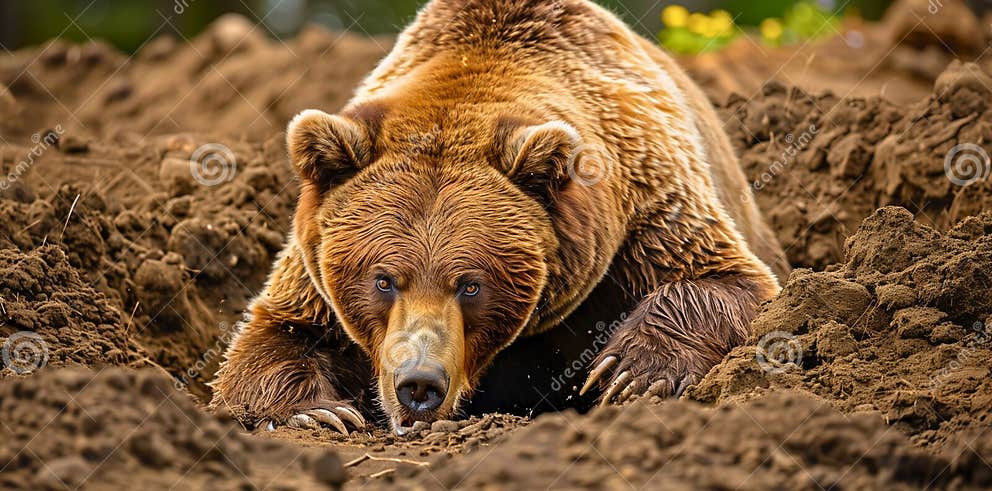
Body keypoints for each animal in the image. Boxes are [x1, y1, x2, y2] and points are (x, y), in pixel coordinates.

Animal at [209, 0, 788, 435]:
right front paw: (319, 411)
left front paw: (630, 371)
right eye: (382, 279)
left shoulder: (644, 204)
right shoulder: (312, 262)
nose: (419, 384)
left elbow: (732, 281)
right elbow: (273, 333)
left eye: (470, 284)